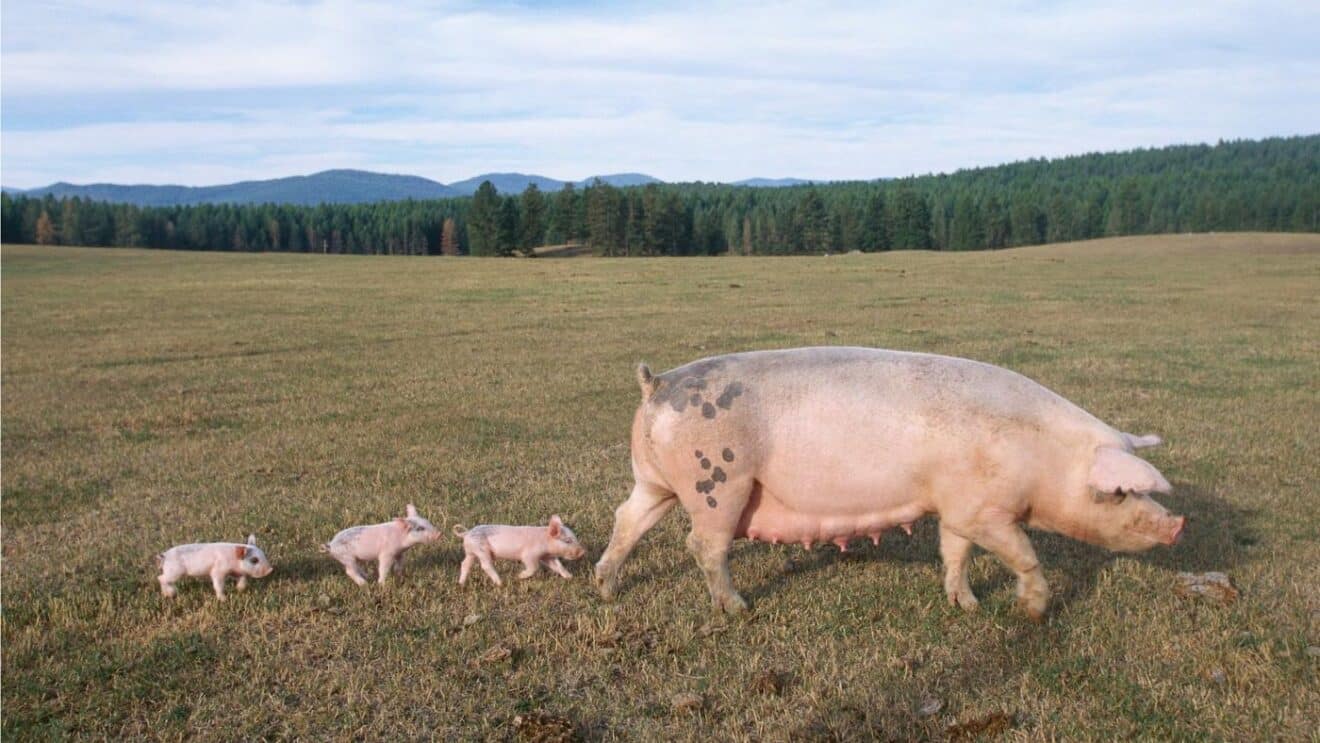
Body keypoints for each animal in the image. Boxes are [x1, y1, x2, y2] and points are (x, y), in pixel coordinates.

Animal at [453, 516, 587, 586]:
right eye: (567, 541)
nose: (583, 552)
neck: (545, 541)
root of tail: (467, 533)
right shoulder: (529, 555)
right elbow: (534, 567)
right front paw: (519, 576)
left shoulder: (547, 556)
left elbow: (558, 565)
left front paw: (570, 577)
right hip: (481, 550)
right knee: (485, 565)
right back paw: (501, 583)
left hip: (471, 552)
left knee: (465, 564)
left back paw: (461, 583)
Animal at [594, 347, 1186, 620]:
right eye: (1119, 491)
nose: (1178, 524)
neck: (1045, 458)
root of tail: (657, 383)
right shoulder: (986, 509)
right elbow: (1022, 554)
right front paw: (1032, 611)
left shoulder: (956, 508)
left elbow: (955, 552)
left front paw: (967, 605)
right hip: (719, 483)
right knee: (702, 544)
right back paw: (738, 607)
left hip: (656, 481)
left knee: (627, 520)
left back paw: (605, 587)